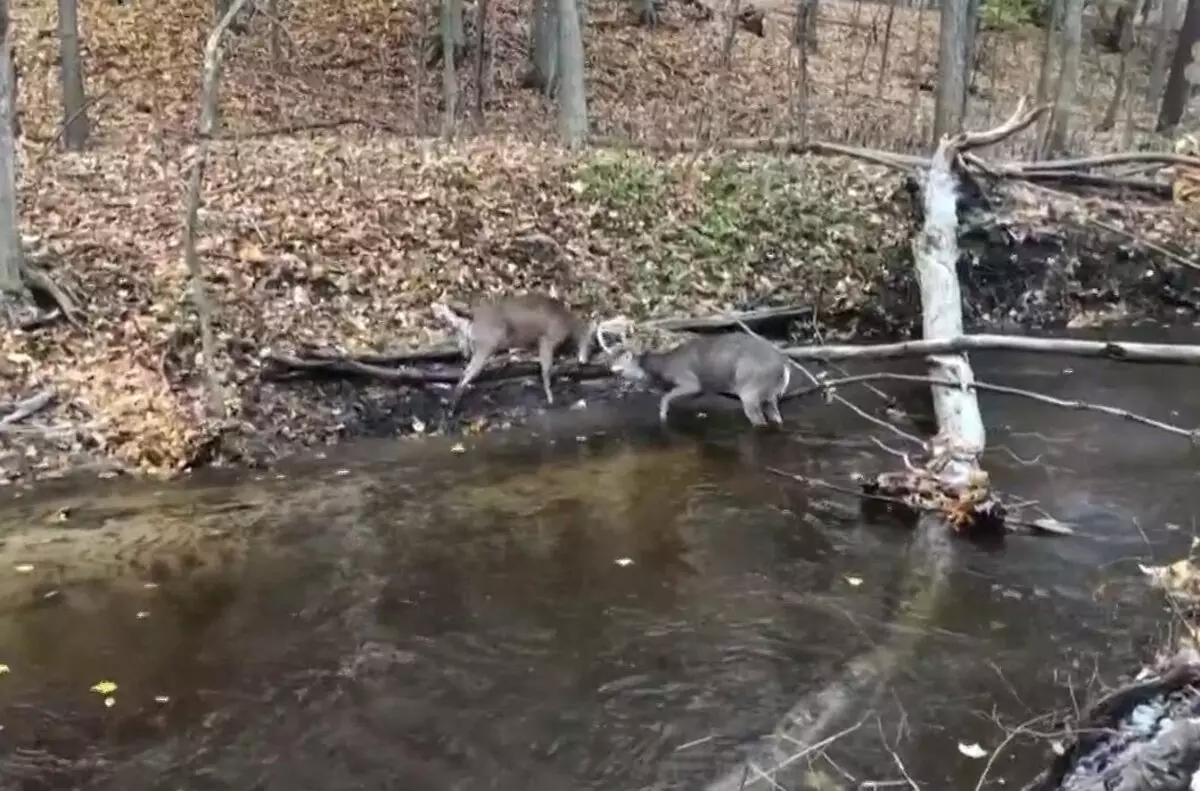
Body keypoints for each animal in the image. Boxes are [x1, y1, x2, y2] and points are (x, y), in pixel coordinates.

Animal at [597, 324, 787, 429]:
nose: (610, 371)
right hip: (769, 393)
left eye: (620, 366)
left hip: (751, 388)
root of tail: (784, 368)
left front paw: (663, 414)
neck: (660, 367)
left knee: (758, 418)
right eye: (609, 360)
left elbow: (667, 397)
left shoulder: (689, 380)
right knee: (775, 415)